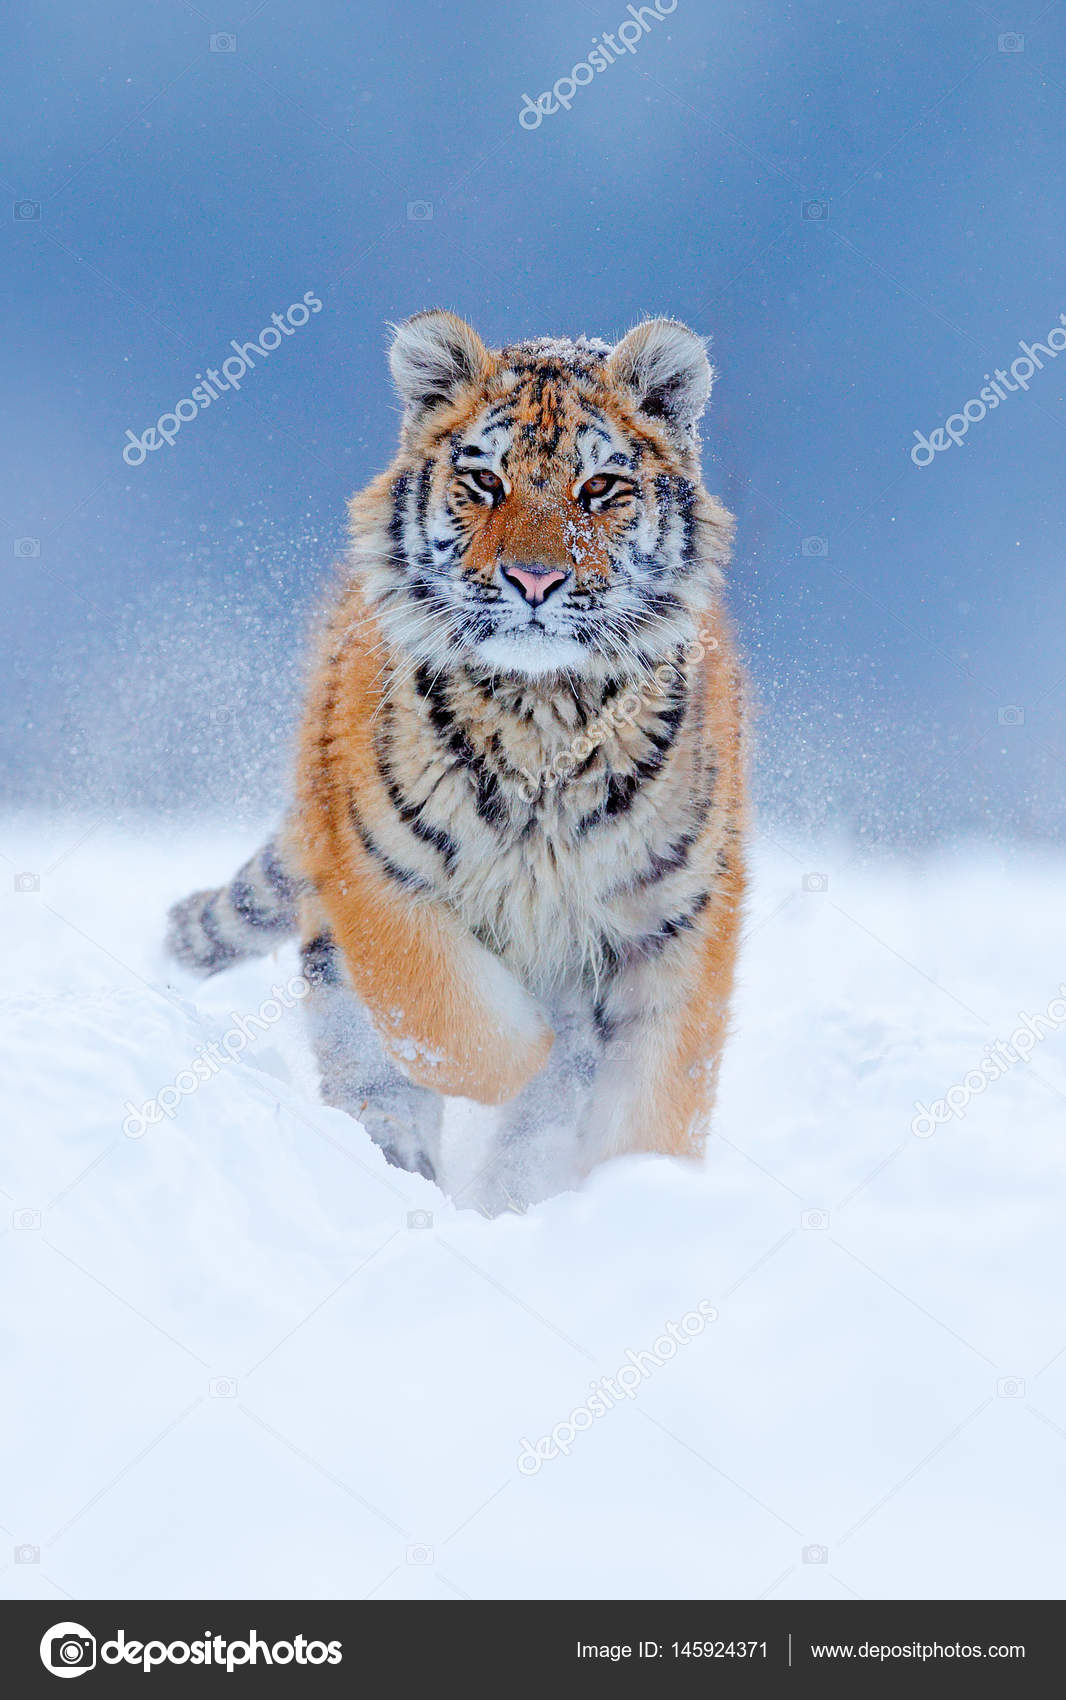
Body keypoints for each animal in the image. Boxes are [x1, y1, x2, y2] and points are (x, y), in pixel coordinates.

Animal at [166, 310, 747, 1212]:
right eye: (484, 480)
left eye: (599, 488)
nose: (534, 580)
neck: (544, 716)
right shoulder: (377, 874)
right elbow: (457, 1024)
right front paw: (539, 1056)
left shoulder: (677, 915)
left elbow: (660, 1090)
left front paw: (642, 1193)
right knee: (373, 1067)